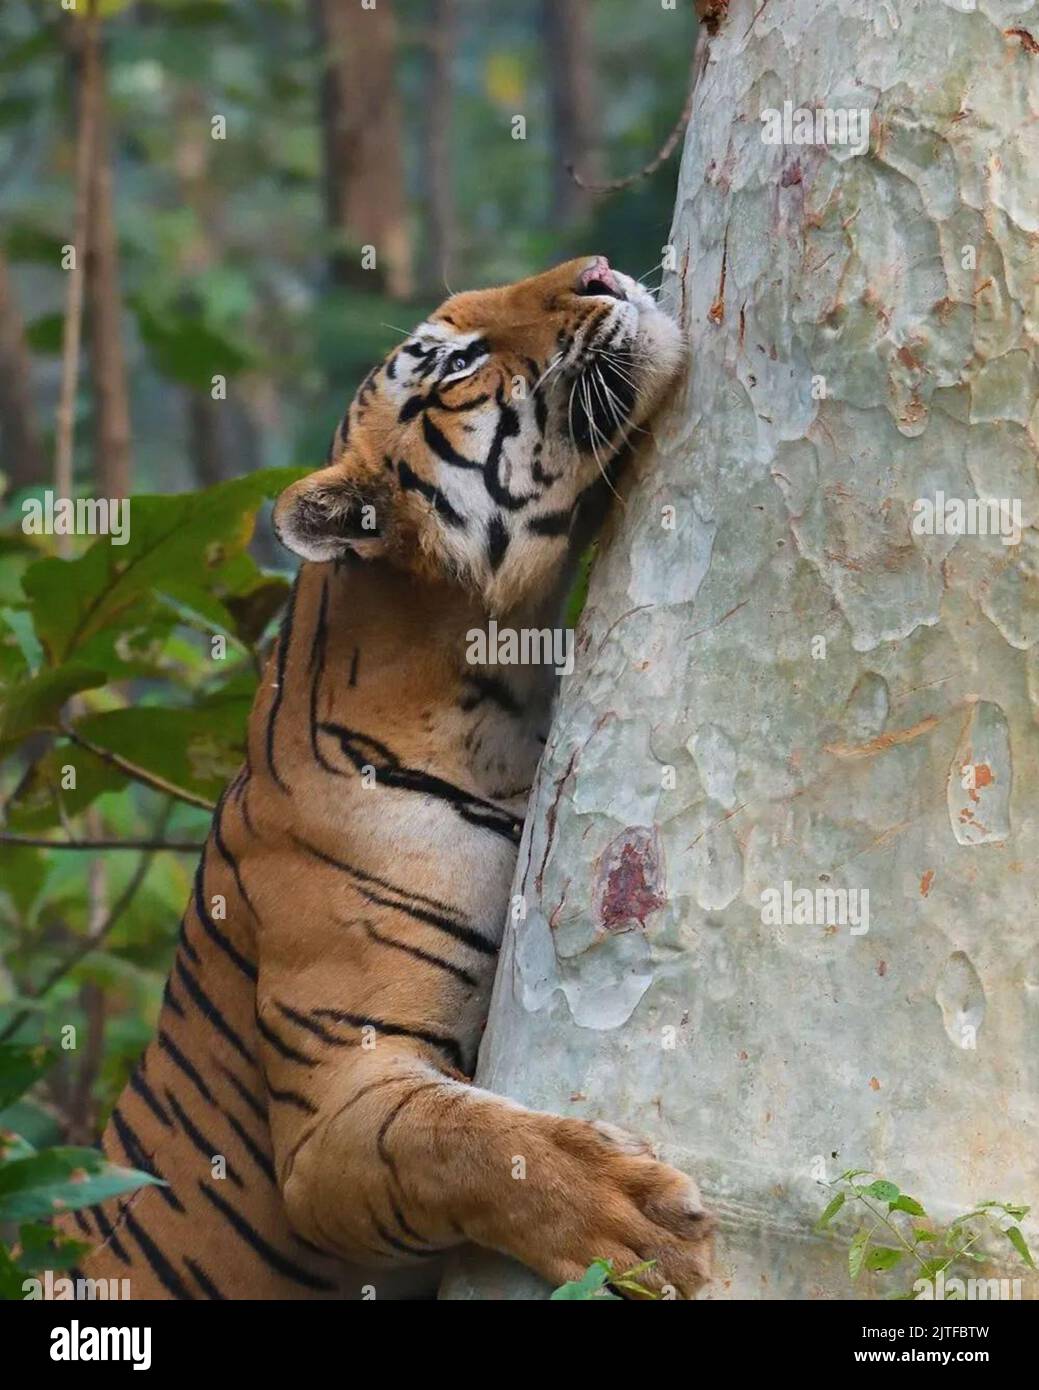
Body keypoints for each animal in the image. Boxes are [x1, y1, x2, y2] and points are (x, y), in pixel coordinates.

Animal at [57, 256, 714, 1300]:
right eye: (453, 362)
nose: (604, 272)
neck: (493, 689)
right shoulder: (333, 1108)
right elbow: (459, 1143)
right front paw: (637, 1217)